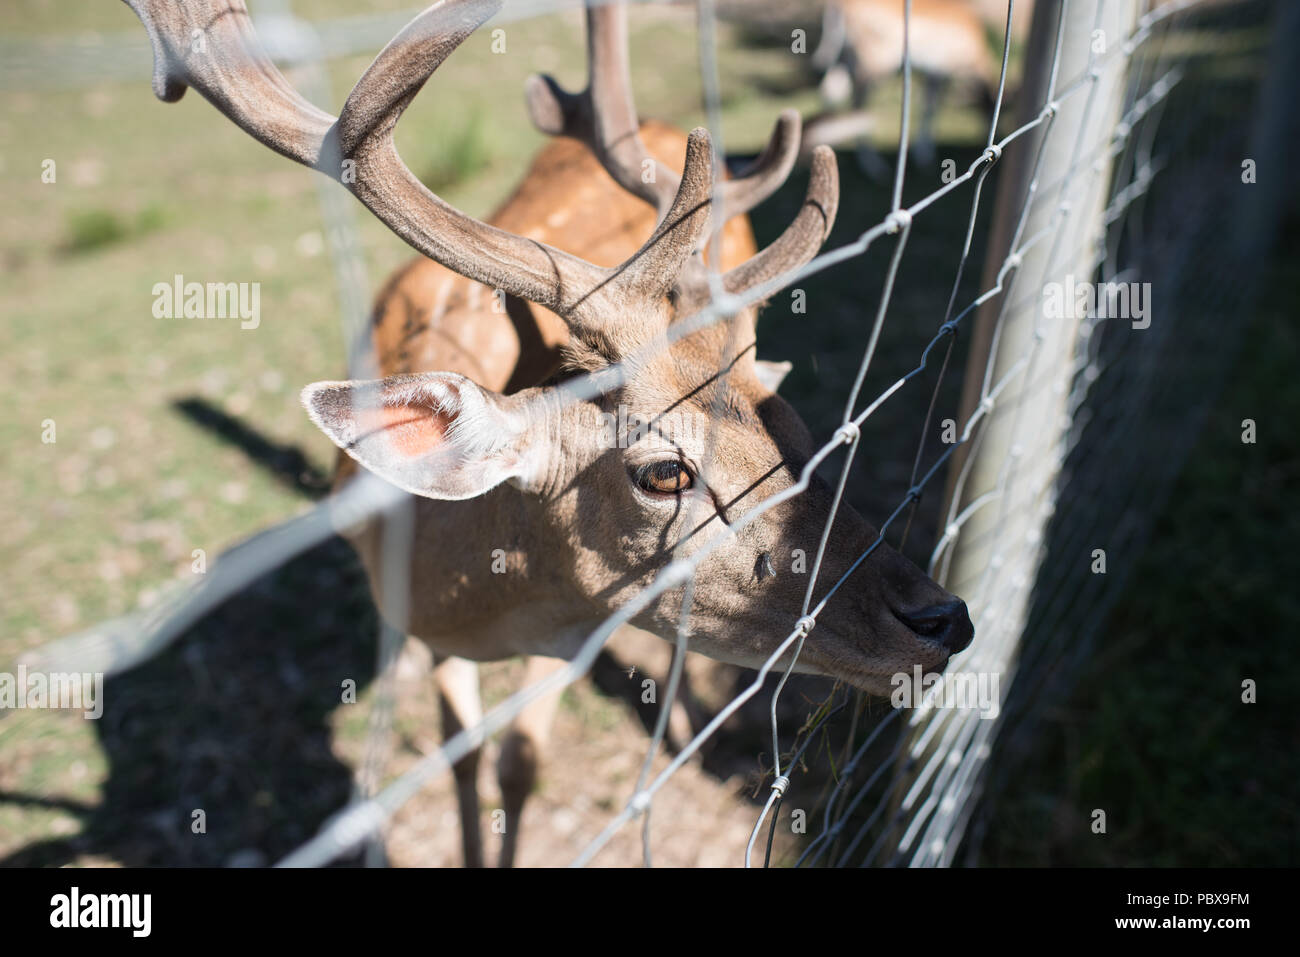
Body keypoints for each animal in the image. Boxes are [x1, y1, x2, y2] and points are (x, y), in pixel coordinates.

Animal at [124, 0, 974, 867]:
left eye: (796, 431)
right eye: (664, 471)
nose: (945, 618)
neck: (468, 597)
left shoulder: (579, 622)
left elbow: (521, 759)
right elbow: (461, 753)